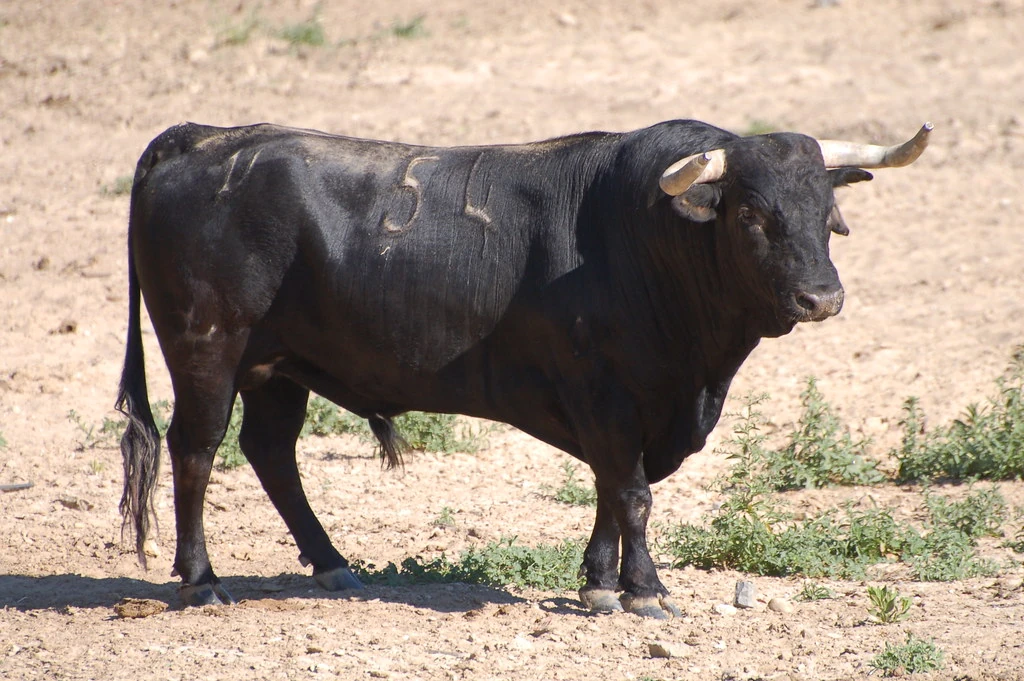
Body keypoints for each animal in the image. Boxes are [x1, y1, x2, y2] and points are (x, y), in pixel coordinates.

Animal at [117, 118, 930, 618]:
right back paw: (202, 579)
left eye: (827, 213)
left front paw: (599, 582)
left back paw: (331, 563)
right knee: (197, 450)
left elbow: (609, 492)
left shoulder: (630, 412)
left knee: (271, 453)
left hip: (277, 368)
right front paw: (645, 590)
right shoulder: (605, 397)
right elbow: (632, 494)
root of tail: (201, 140)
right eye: (754, 215)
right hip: (208, 349)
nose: (821, 297)